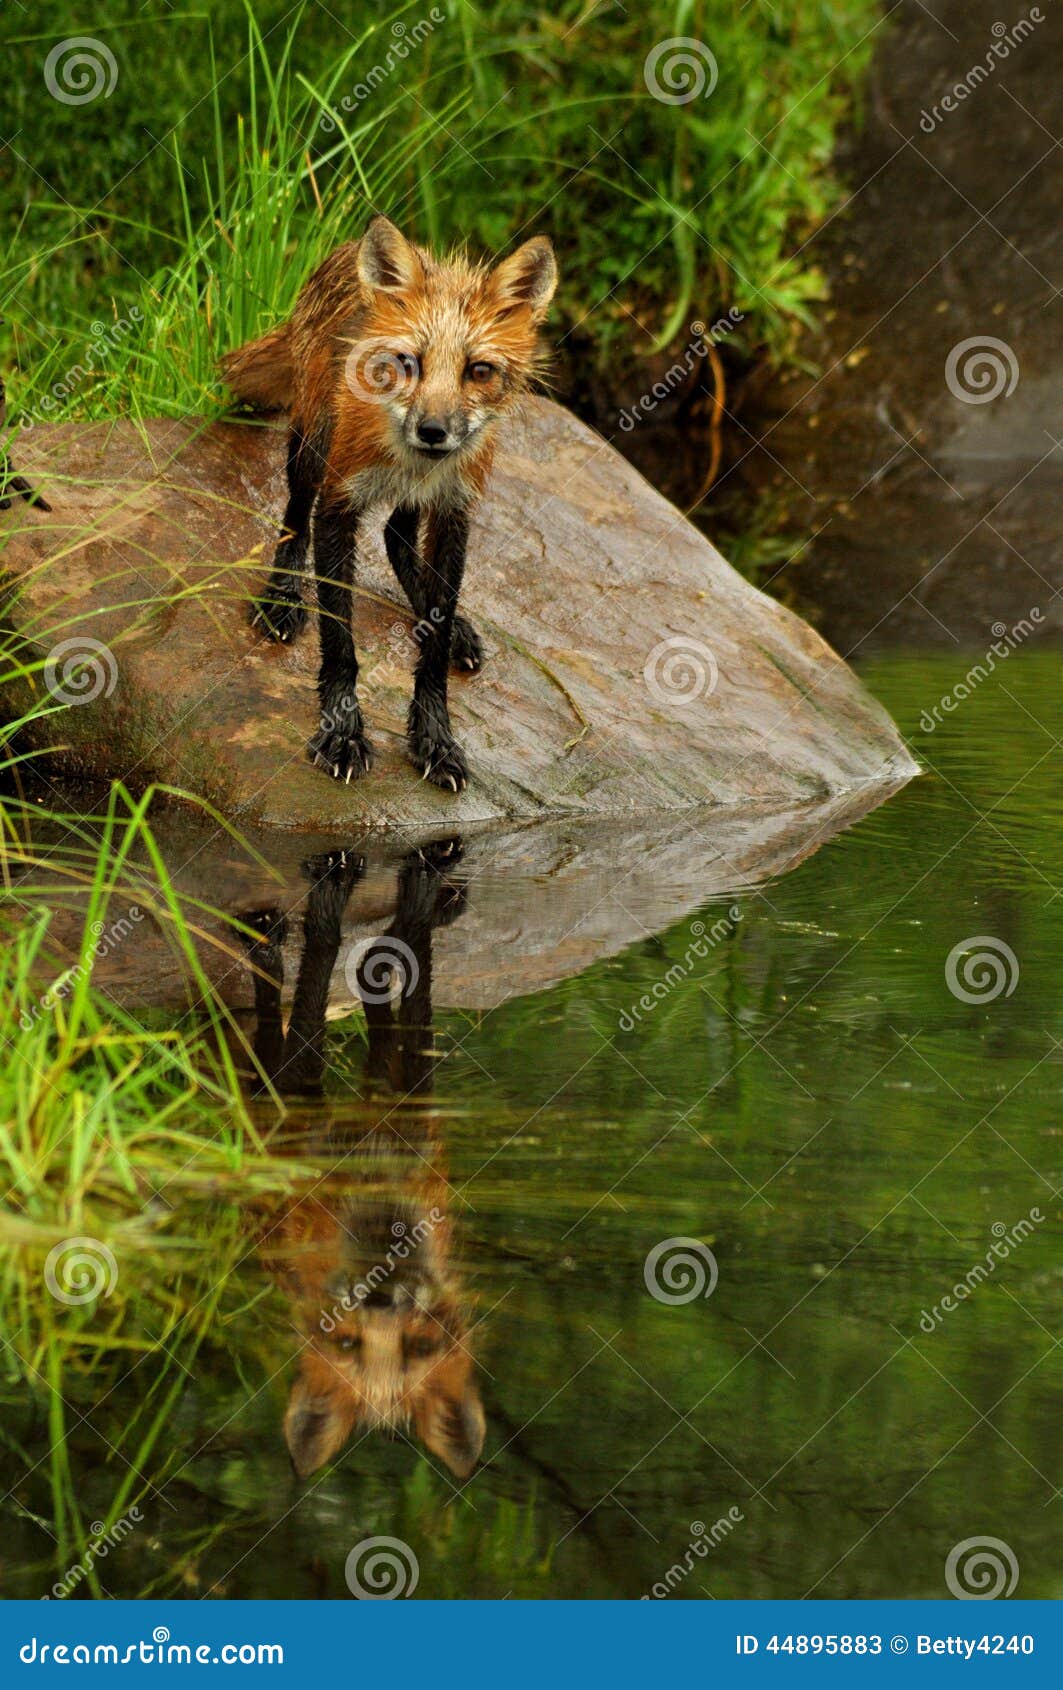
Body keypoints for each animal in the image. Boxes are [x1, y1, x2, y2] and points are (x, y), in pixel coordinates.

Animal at [222, 216, 558, 793]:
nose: (434, 431)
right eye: (407, 362)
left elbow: (434, 647)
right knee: (295, 518)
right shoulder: (339, 502)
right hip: (312, 443)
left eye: (479, 371)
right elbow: (339, 639)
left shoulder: (453, 510)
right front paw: (341, 733)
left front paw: (435, 736)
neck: (409, 461)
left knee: (397, 536)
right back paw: (283, 594)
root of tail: (343, 249)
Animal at [239, 839, 484, 1481]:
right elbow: (318, 977)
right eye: (345, 1343)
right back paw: (269, 956)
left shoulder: (417, 1120)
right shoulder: (303, 1113)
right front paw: (332, 910)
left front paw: (413, 909)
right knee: (272, 1037)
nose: (380, 1296)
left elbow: (413, 1003)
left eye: (421, 1346)